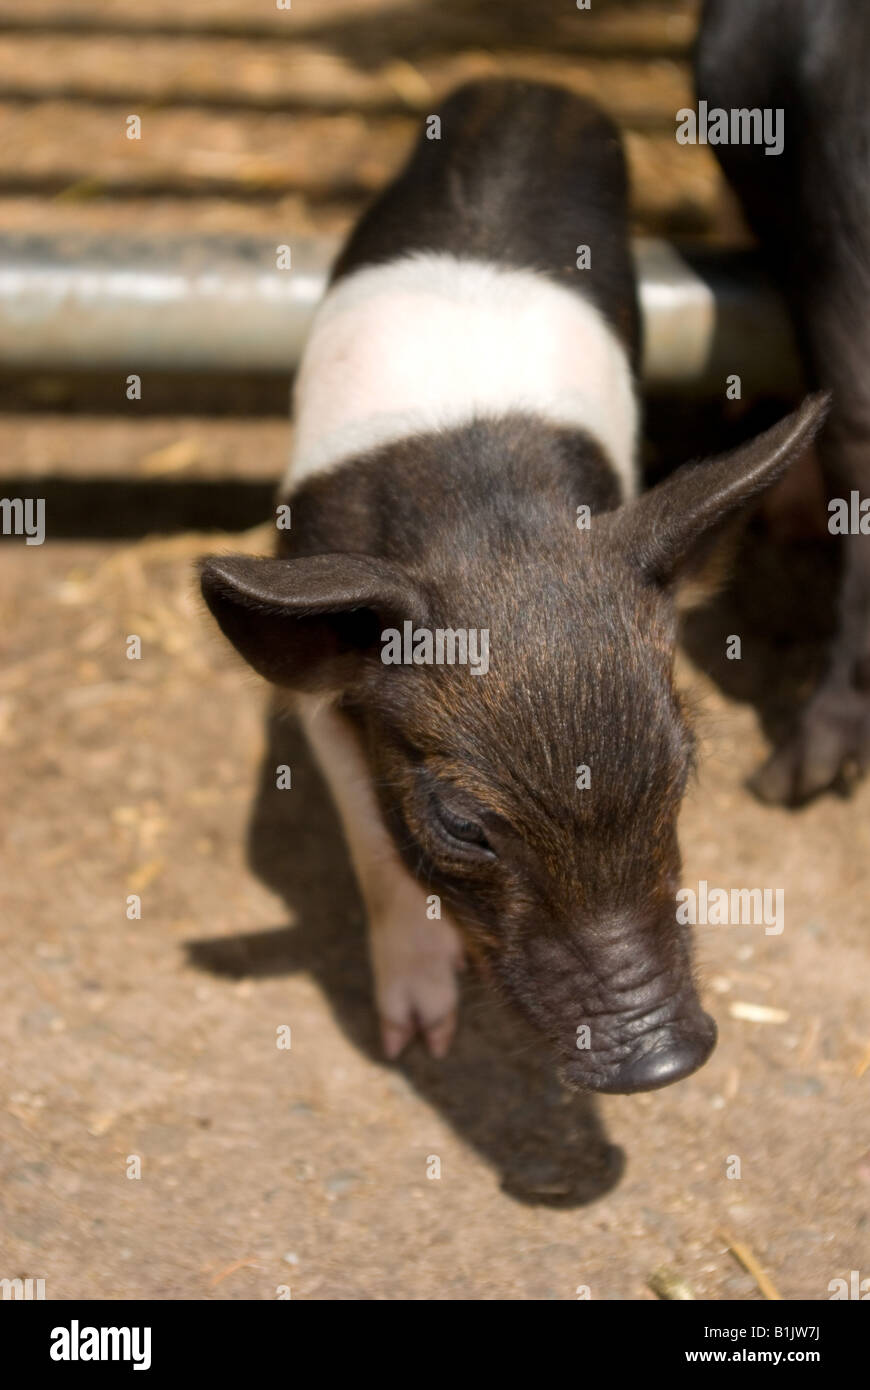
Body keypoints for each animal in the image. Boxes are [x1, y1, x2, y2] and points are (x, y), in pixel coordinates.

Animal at [200, 80, 825, 1092]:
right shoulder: (329, 696)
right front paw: (419, 1039)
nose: (664, 1061)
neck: (488, 526)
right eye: (461, 824)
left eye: (683, 765)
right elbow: (373, 848)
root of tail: (529, 87)